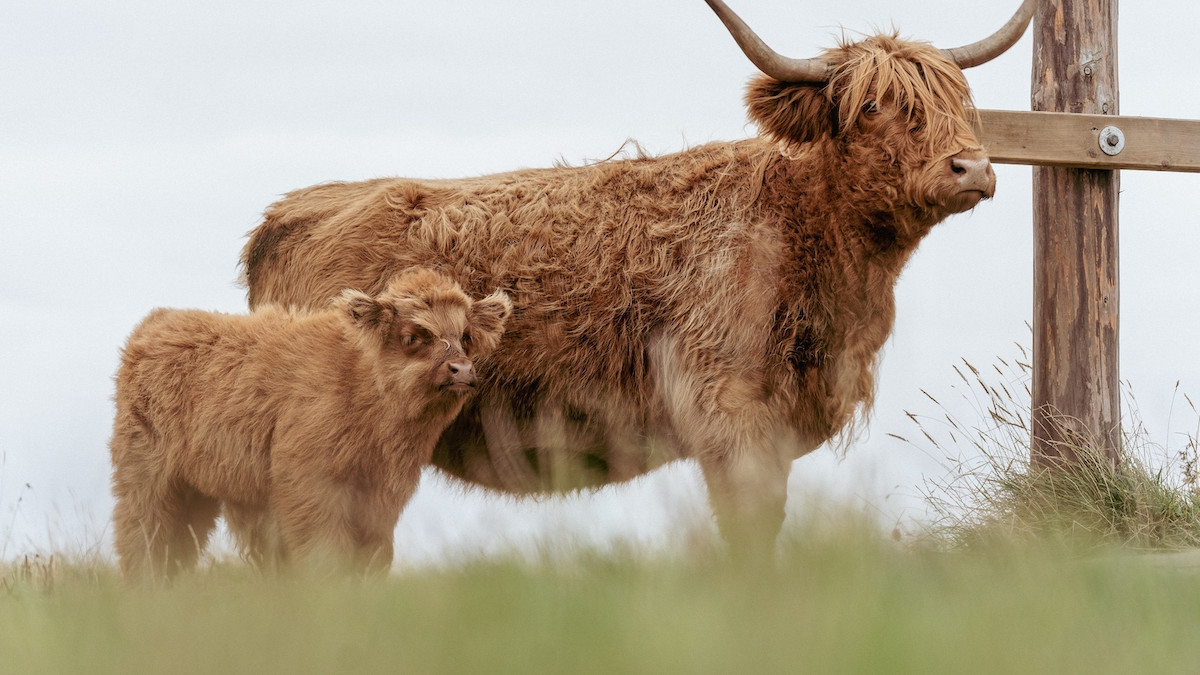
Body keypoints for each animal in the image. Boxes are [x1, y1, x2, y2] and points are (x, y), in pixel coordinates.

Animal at [110, 268, 512, 579]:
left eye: (465, 336)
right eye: (412, 336)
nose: (461, 369)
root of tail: (159, 321)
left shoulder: (381, 497)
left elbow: (374, 558)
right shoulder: (311, 487)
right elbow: (327, 556)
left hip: (201, 489)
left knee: (178, 547)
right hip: (148, 478)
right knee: (144, 539)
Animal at [239, 0, 1034, 557]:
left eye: (958, 103)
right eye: (872, 106)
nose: (972, 167)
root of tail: (289, 212)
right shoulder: (729, 414)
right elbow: (750, 533)